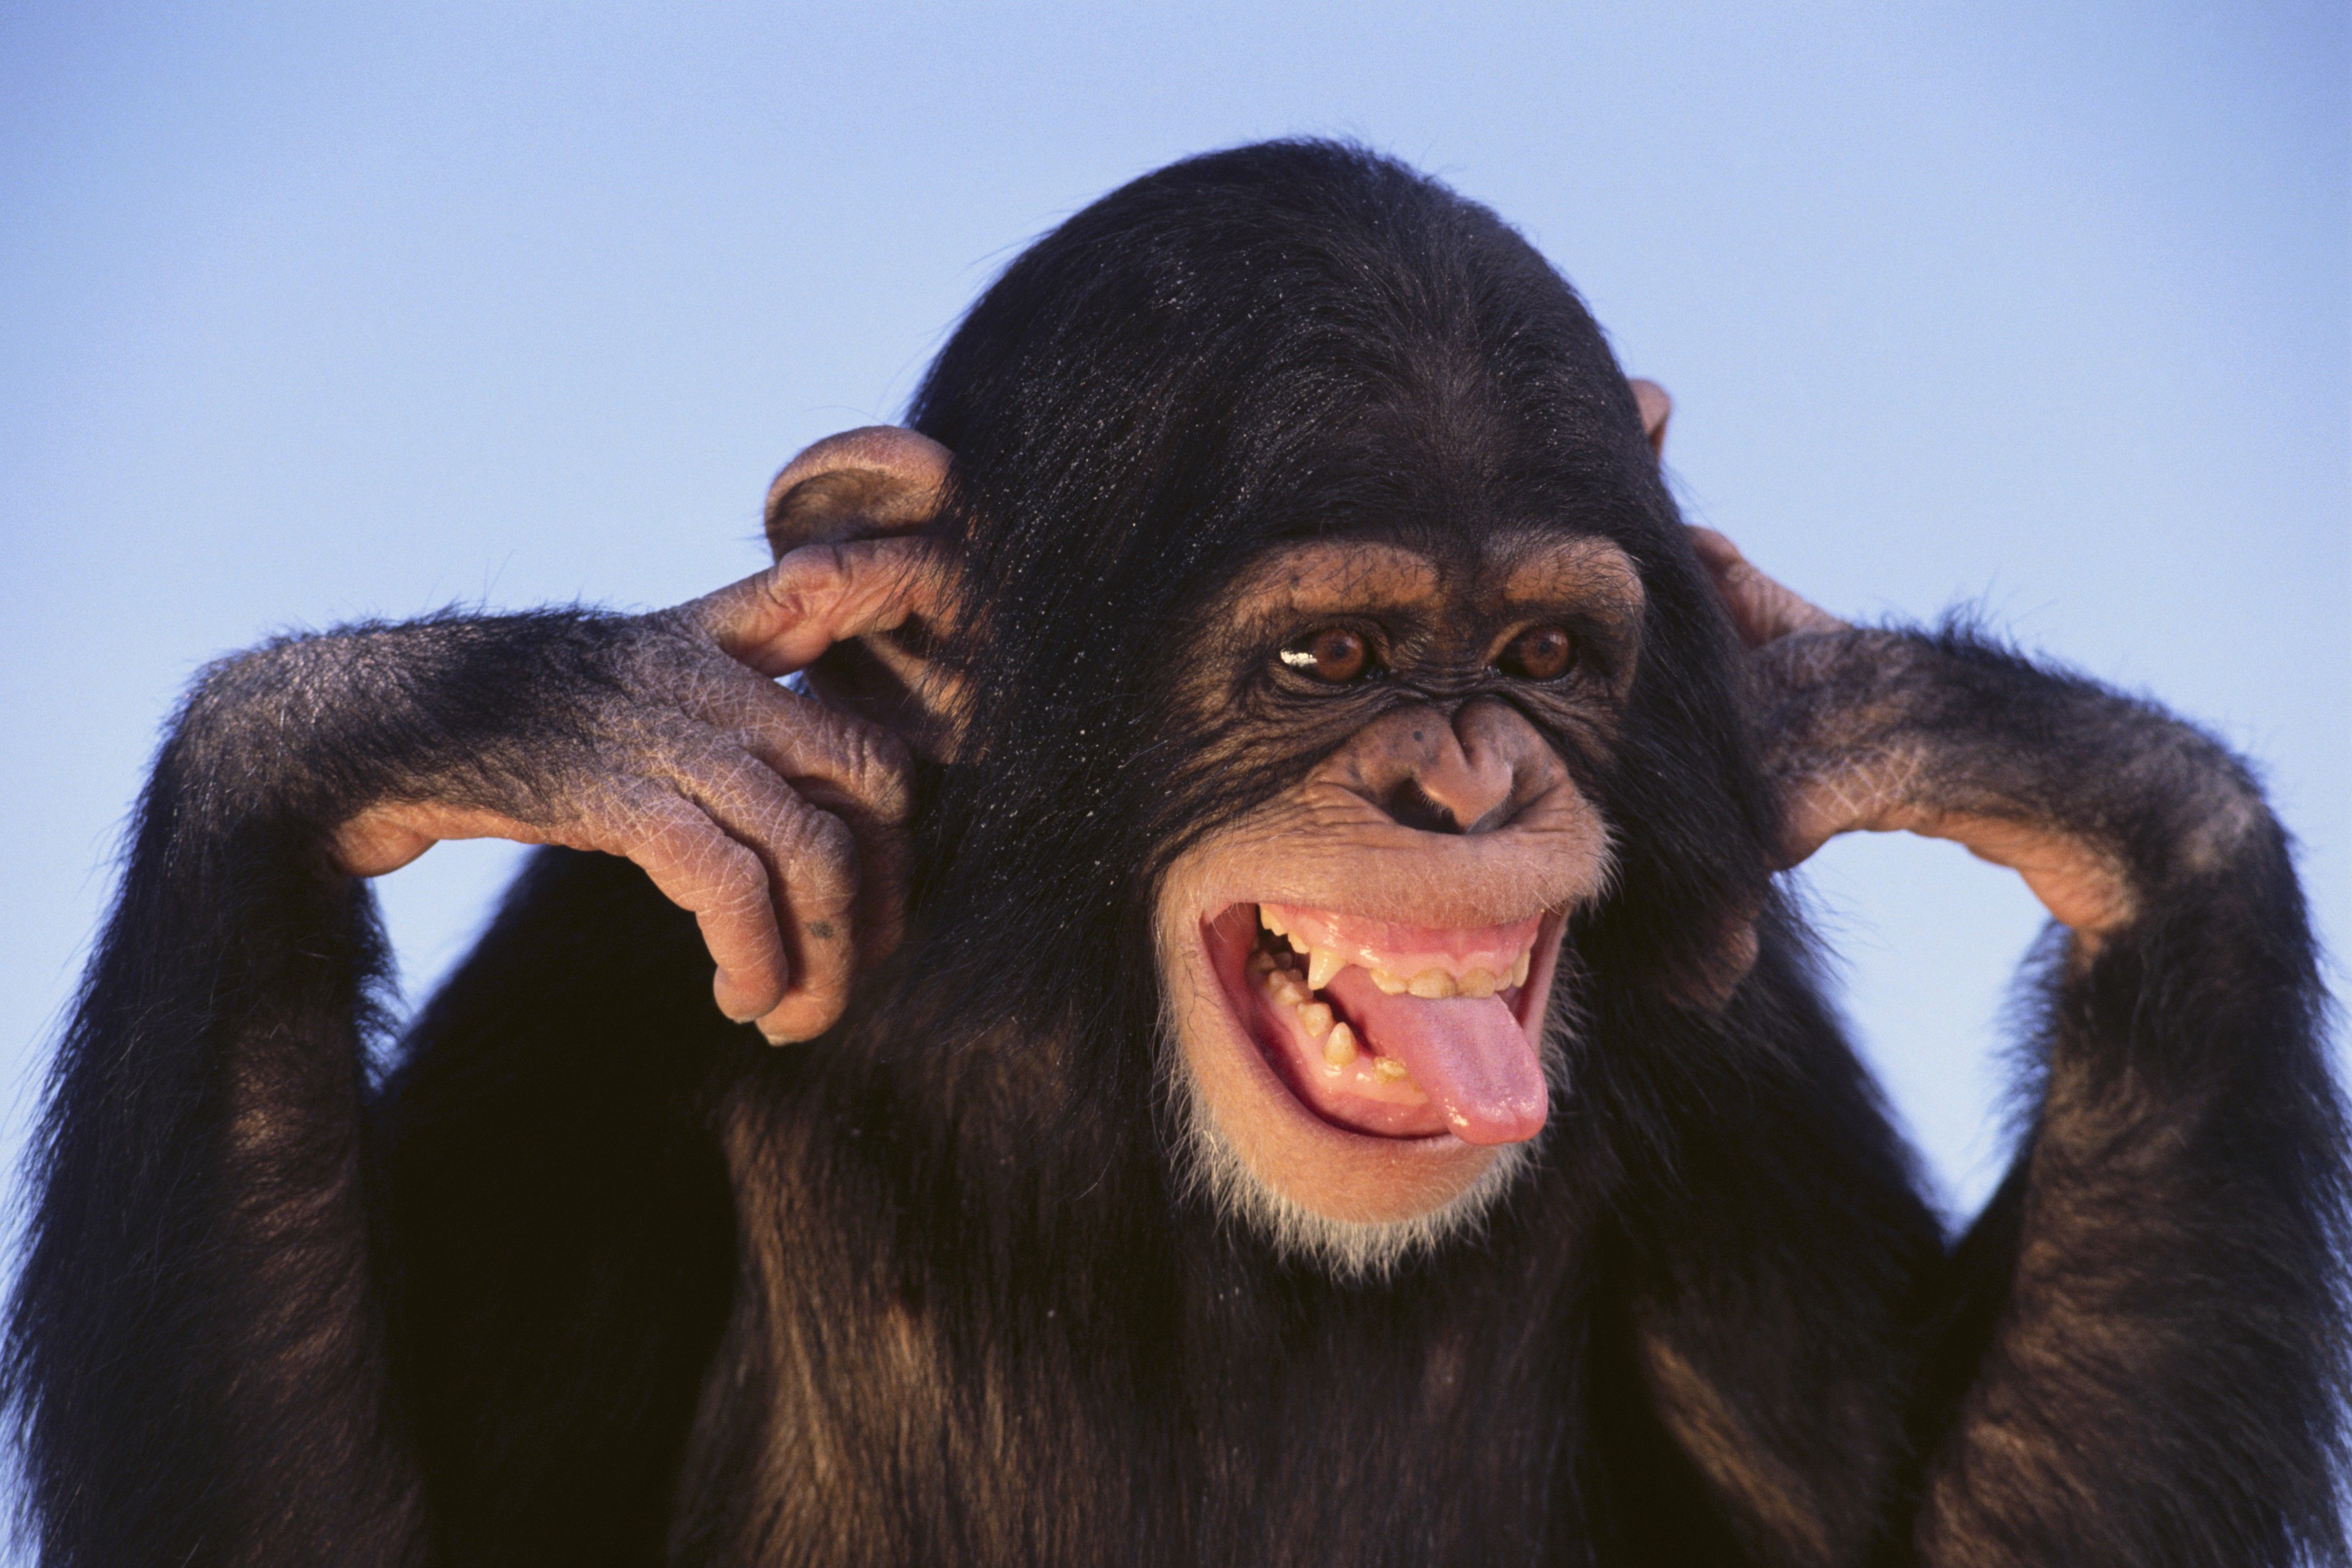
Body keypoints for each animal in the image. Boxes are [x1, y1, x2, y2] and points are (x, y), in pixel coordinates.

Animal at [8, 140, 2344, 1567]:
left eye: (1549, 654)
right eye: (1330, 655)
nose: (1471, 782)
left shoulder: (1724, 1004)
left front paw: (2015, 748)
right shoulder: (626, 955)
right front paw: (479, 716)